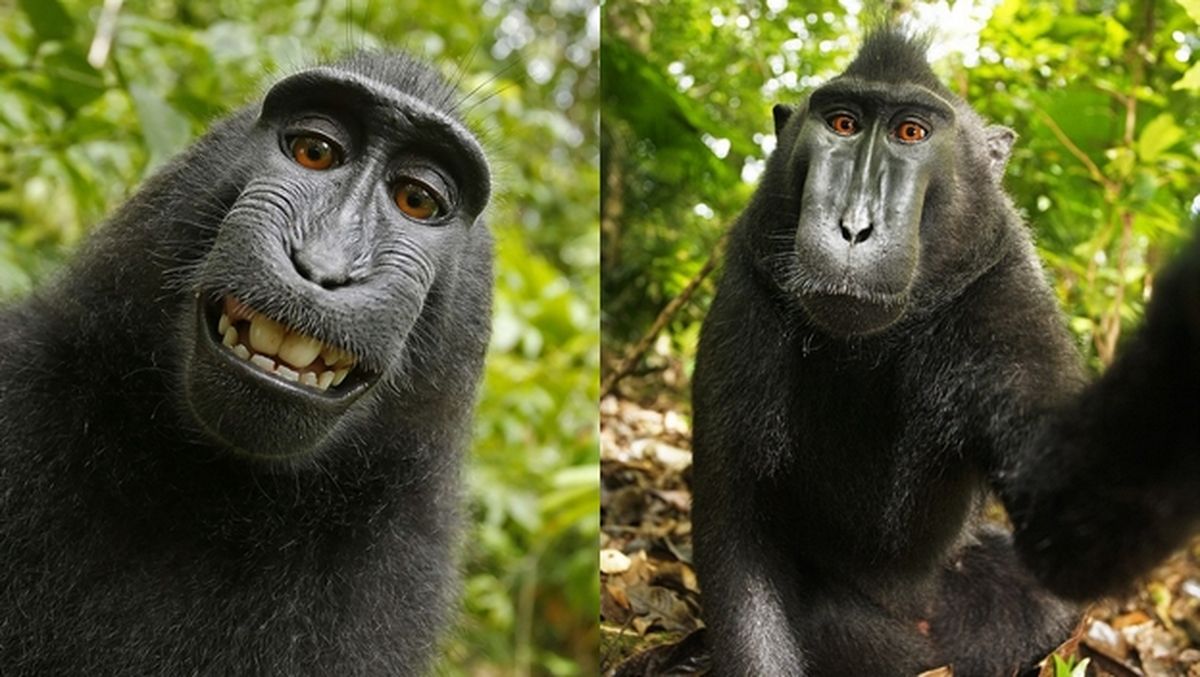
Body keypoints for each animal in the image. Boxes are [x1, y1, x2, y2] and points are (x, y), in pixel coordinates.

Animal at [692, 30, 1200, 676]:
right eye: (842, 124)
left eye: (911, 133)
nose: (854, 227)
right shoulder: (748, 287)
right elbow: (736, 534)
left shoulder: (1004, 292)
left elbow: (1072, 527)